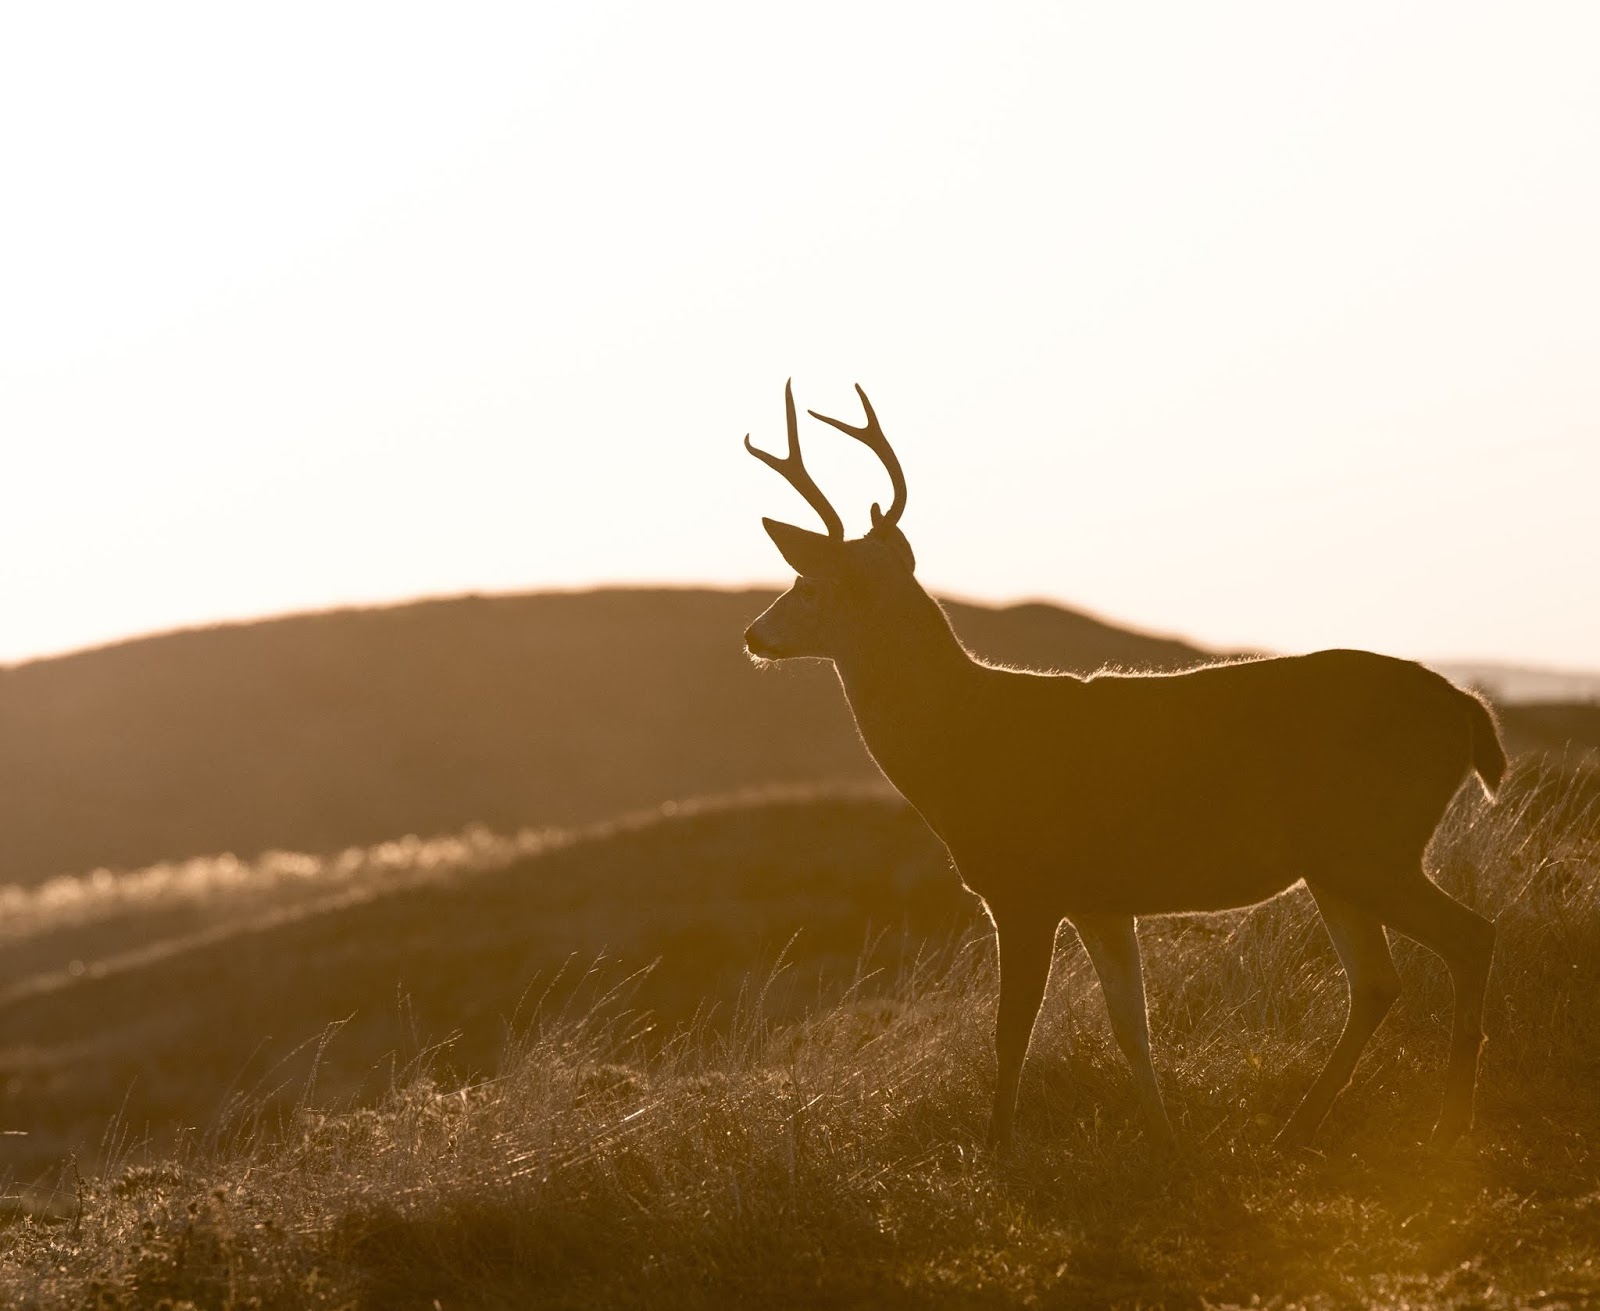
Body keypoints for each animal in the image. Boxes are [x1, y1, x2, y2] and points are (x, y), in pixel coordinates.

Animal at [742, 380, 1504, 1154]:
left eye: (808, 583)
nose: (753, 634)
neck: (962, 739)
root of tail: (1467, 710)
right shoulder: (1100, 901)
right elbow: (1131, 1026)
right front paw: (1166, 1142)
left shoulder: (1025, 888)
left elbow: (1011, 1032)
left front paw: (997, 1152)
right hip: (1338, 861)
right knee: (1378, 981)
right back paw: (1297, 1129)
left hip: (1371, 844)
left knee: (1471, 937)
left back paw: (1448, 1124)